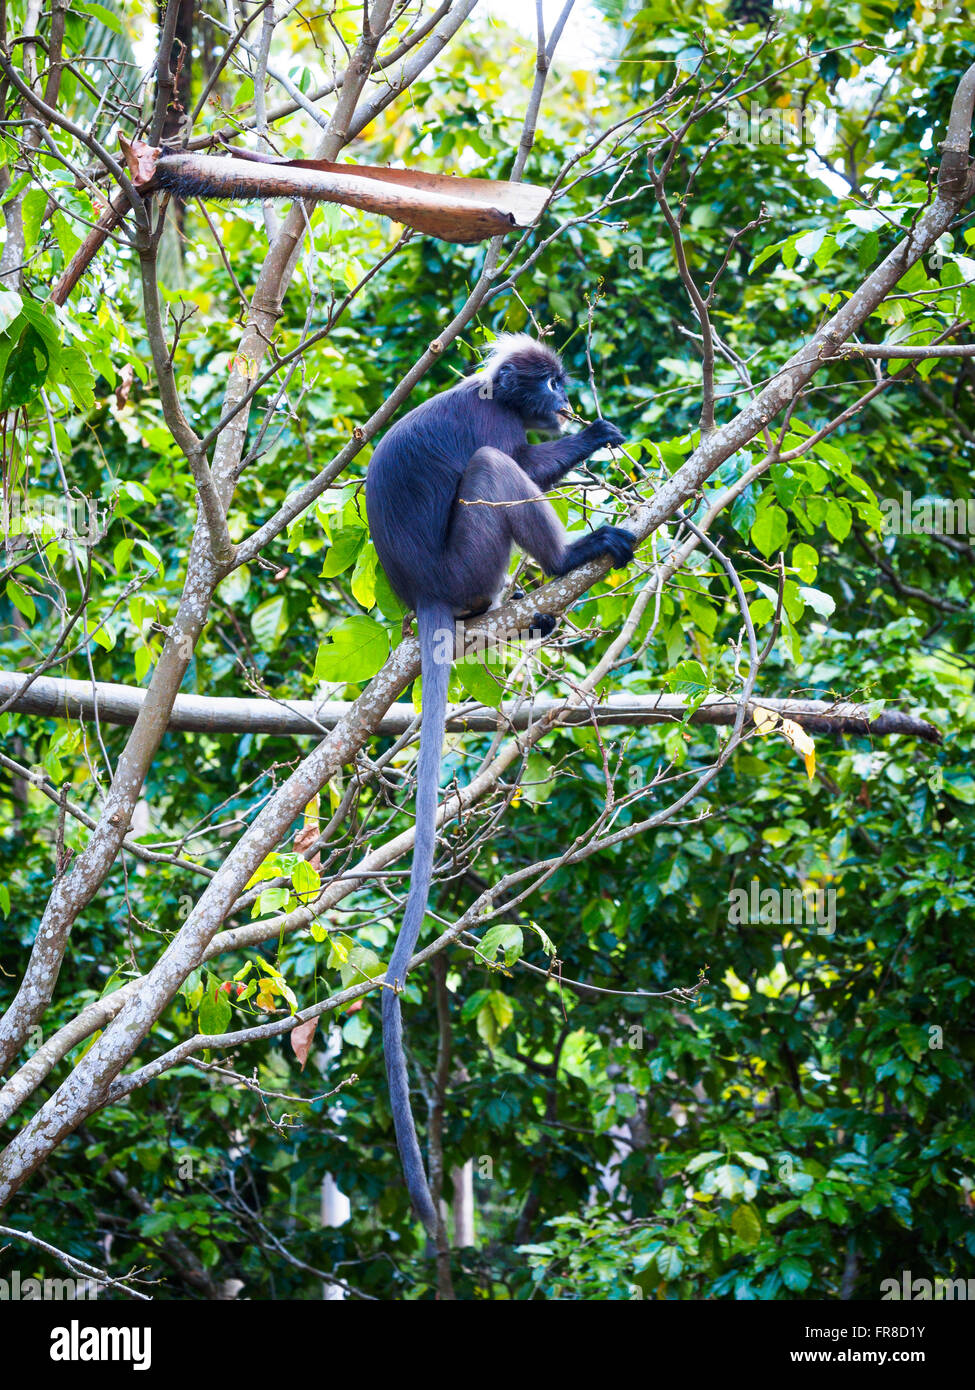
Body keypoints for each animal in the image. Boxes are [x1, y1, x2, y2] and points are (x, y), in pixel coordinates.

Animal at [365, 335, 635, 1241]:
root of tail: (426, 594)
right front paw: (589, 437)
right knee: (493, 470)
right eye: (544, 381)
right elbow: (512, 456)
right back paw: (566, 562)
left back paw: (531, 612)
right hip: (468, 559)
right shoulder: (494, 422)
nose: (560, 395)